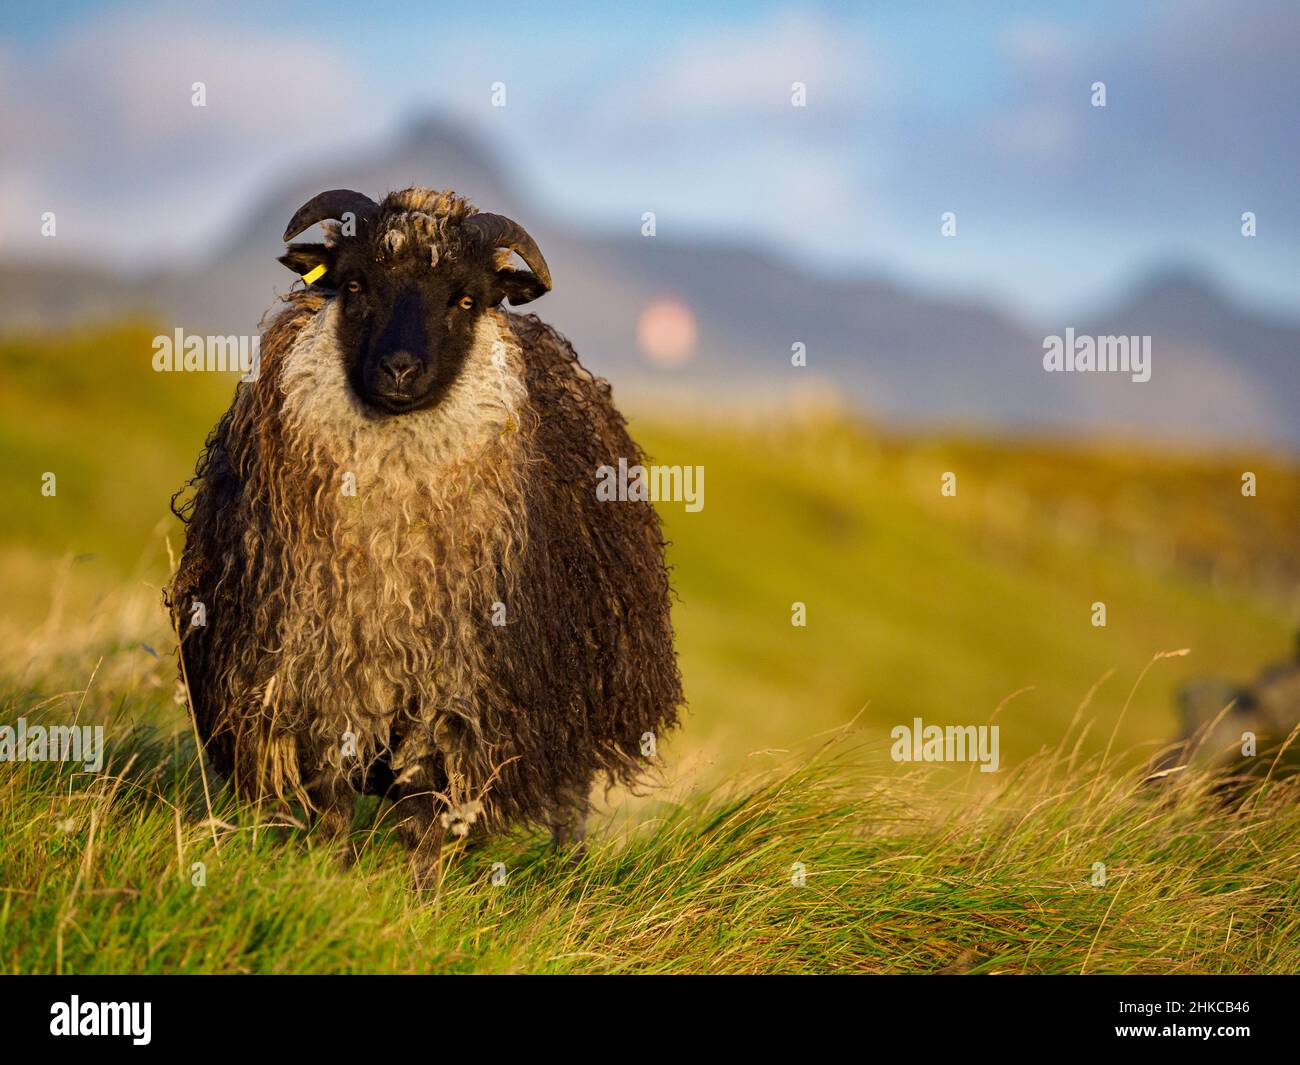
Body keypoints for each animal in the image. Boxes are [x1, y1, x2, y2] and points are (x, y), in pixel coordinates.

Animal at [168, 187, 684, 884]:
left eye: (464, 299)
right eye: (355, 284)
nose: (399, 369)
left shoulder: (458, 693)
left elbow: (423, 812)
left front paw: (419, 895)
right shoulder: (321, 673)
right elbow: (333, 798)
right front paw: (330, 878)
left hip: (582, 680)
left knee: (568, 794)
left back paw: (568, 872)